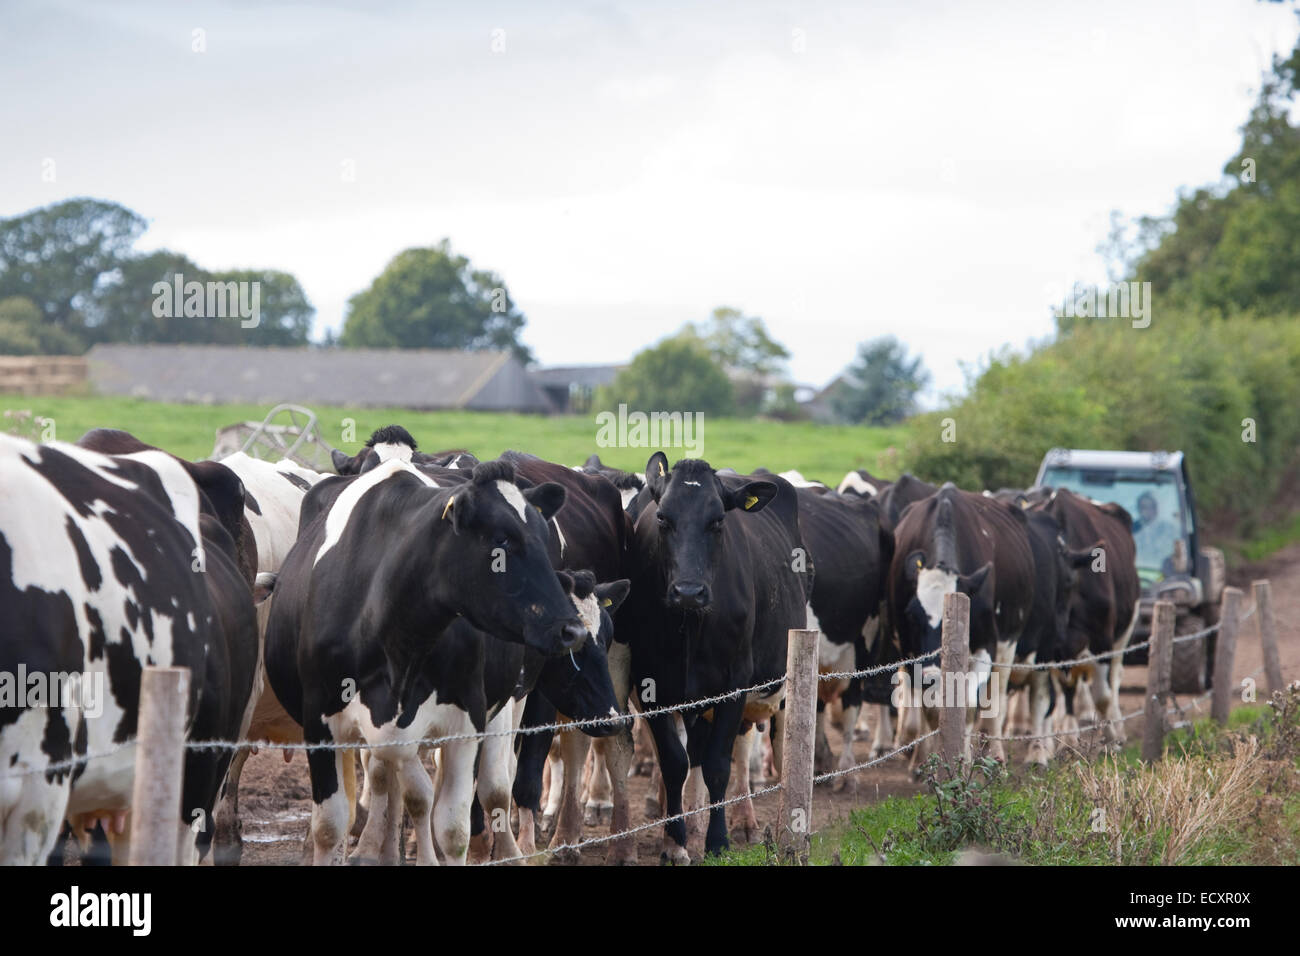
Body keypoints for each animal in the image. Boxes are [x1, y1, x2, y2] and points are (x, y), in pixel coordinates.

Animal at [264, 457, 604, 864]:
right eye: (502, 540)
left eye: (542, 536)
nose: (573, 630)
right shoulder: (319, 723)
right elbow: (331, 825)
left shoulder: (467, 721)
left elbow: (452, 828)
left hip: (509, 701)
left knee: (493, 782)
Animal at [620, 452, 810, 862]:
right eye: (663, 518)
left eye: (718, 520)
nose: (689, 591)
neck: (691, 624)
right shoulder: (650, 684)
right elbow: (675, 763)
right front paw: (675, 843)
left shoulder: (734, 683)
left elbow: (719, 765)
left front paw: (718, 842)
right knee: (695, 754)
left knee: (780, 750)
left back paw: (779, 830)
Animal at [887, 483, 1035, 766]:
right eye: (912, 615)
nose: (932, 676)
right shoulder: (909, 650)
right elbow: (930, 708)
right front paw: (925, 762)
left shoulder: (988, 644)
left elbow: (968, 703)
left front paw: (962, 761)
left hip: (1008, 643)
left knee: (995, 696)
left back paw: (996, 753)